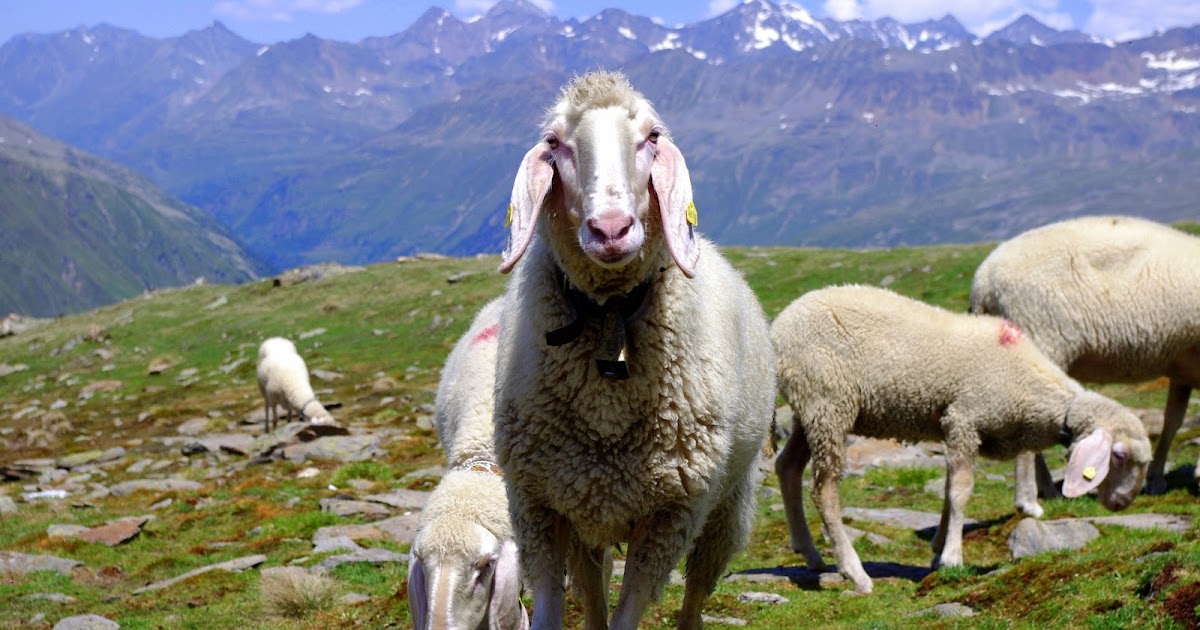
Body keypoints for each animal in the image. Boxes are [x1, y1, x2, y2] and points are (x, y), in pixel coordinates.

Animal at [493, 71, 775, 629]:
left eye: (652, 137)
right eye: (554, 142)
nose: (610, 229)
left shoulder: (671, 516)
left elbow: (631, 610)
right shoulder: (537, 505)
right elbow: (557, 604)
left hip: (725, 506)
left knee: (697, 588)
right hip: (589, 510)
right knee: (592, 584)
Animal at [772, 285, 1151, 594]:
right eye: (1118, 455)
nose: (1122, 503)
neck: (1027, 384)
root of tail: (780, 325)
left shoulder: (952, 429)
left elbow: (947, 490)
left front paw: (938, 550)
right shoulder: (964, 421)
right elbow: (960, 491)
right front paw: (953, 557)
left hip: (811, 410)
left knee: (787, 467)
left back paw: (810, 553)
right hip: (828, 402)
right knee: (823, 490)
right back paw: (854, 572)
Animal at [970, 215, 1200, 504]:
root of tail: (983, 281)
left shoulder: (1183, 368)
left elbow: (1173, 421)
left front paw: (1156, 479)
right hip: (1041, 341)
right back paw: (1046, 489)